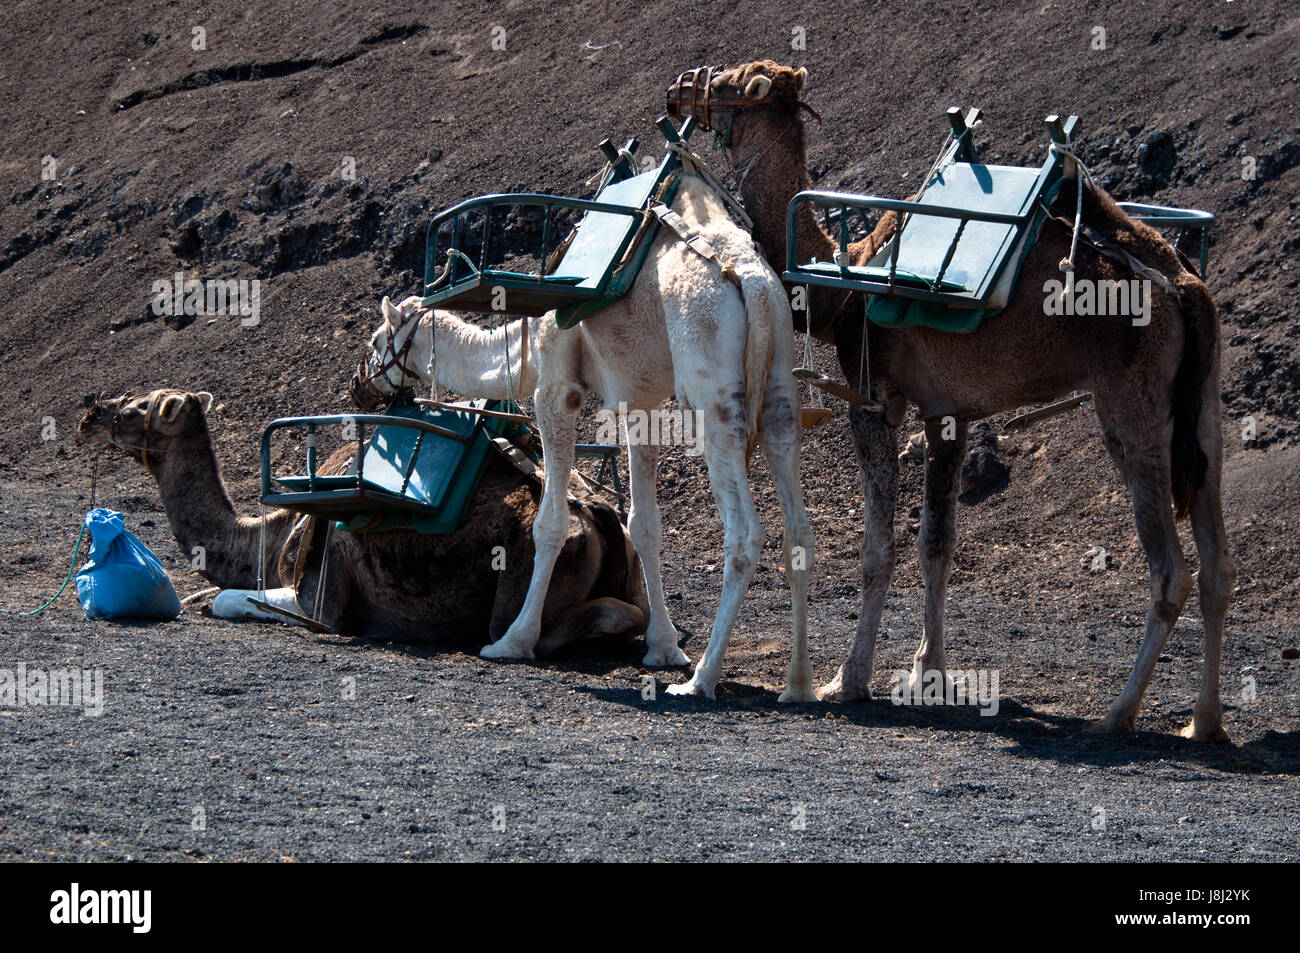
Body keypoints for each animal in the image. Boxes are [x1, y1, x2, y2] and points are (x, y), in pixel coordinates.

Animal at [78, 389, 650, 656]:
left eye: (136, 408)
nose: (90, 414)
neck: (270, 534)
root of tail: (597, 513)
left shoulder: (322, 600)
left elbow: (227, 601)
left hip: (519, 583)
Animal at [357, 171, 816, 703]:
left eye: (376, 341)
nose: (360, 382)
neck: (523, 347)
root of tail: (754, 282)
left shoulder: (557, 386)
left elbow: (550, 523)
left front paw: (514, 641)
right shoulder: (640, 402)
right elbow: (644, 525)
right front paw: (663, 648)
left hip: (712, 392)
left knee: (744, 533)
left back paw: (702, 679)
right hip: (781, 385)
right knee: (798, 530)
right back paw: (798, 685)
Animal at [667, 62, 1234, 740]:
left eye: (728, 83)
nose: (678, 90)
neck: (842, 283)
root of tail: (1183, 284)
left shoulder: (874, 396)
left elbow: (878, 549)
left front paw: (846, 681)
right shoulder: (947, 413)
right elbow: (936, 544)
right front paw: (927, 673)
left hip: (1132, 404)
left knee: (1171, 567)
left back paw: (1117, 714)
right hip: (1202, 408)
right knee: (1218, 564)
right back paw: (1204, 722)